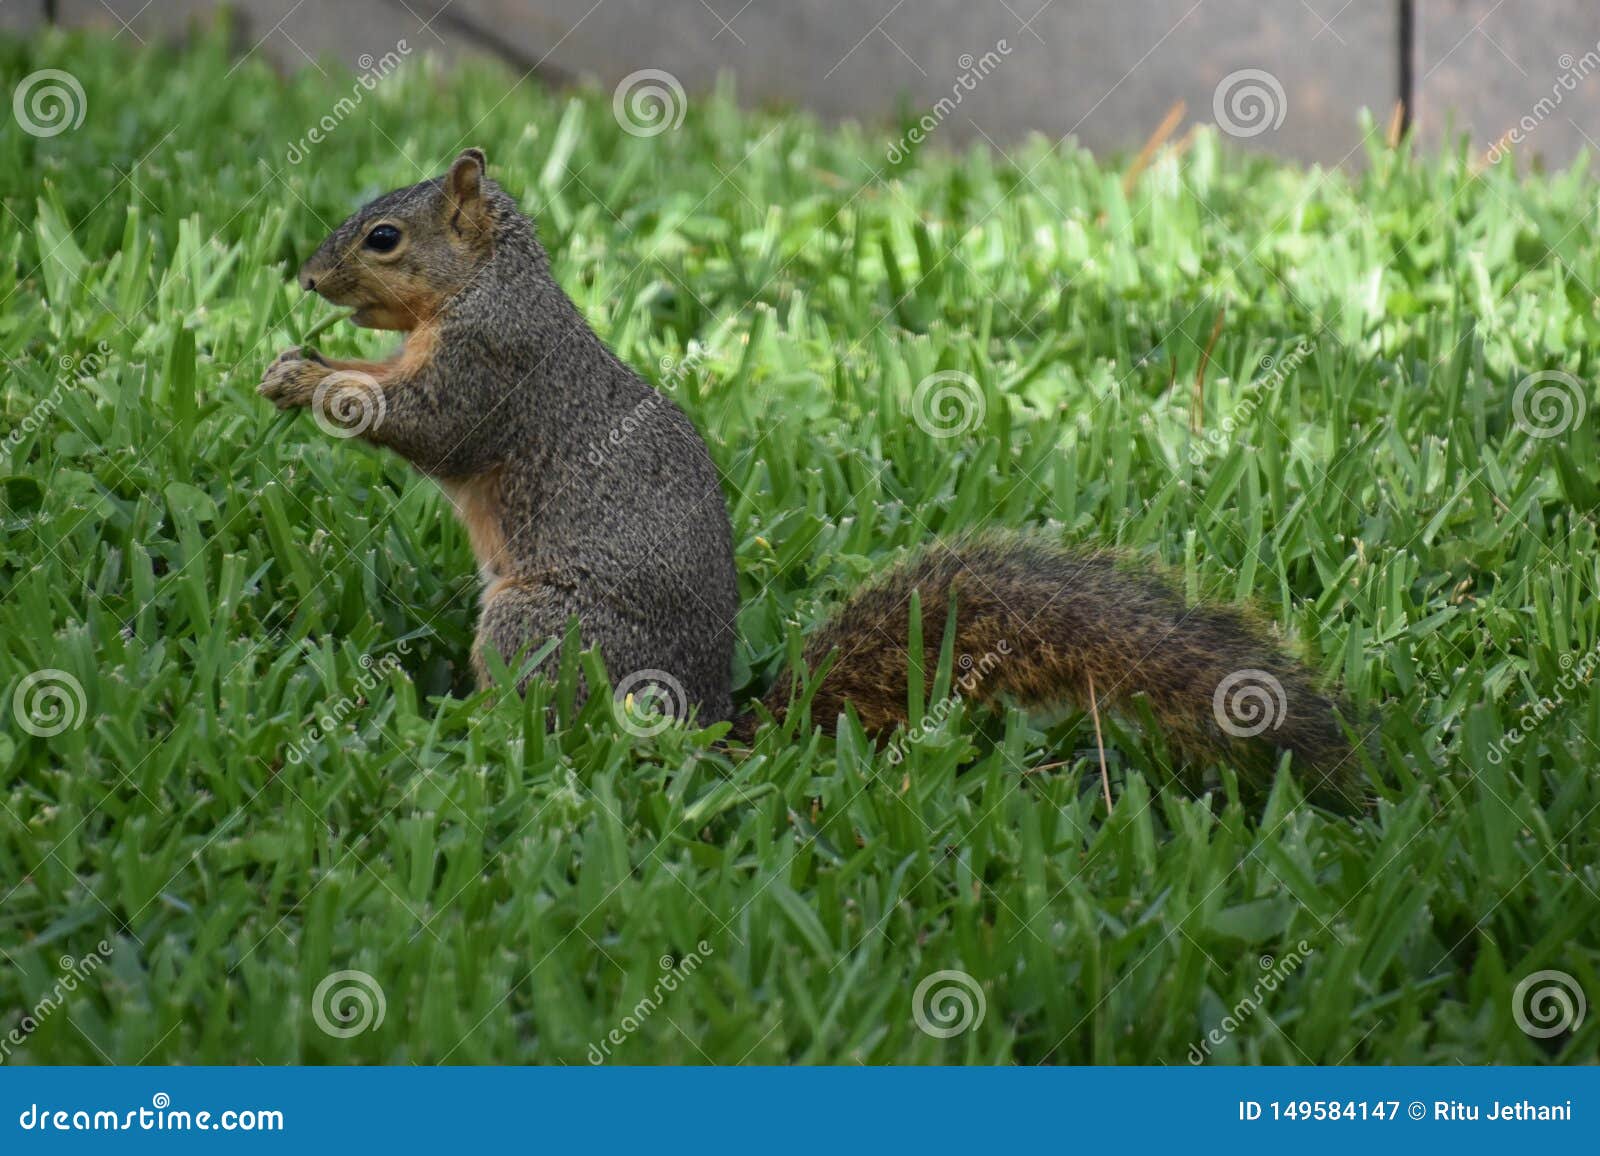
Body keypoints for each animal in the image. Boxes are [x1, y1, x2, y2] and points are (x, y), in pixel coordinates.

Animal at [260, 148, 1362, 808]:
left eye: (385, 238)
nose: (306, 279)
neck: (489, 285)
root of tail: (704, 723)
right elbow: (377, 378)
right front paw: (293, 362)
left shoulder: (490, 371)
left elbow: (421, 423)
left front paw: (312, 382)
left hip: (543, 624)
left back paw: (469, 730)